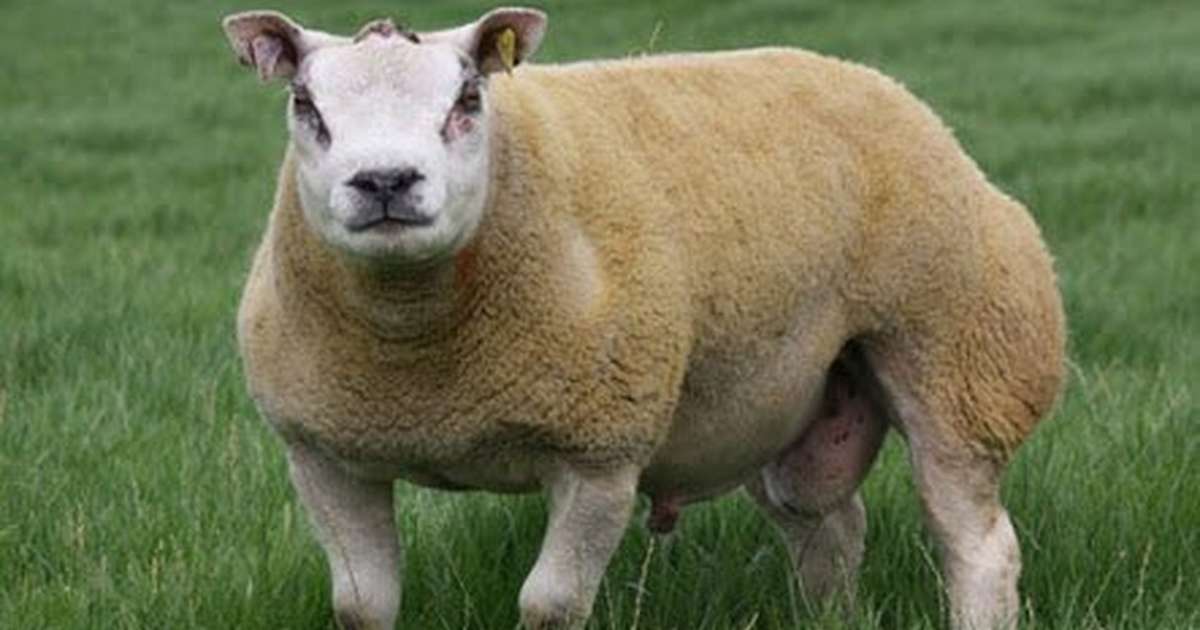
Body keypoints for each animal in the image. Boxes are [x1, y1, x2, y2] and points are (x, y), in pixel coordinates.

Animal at [222, 7, 1065, 630]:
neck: (418, 349)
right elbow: (362, 606)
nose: (386, 181)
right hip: (778, 402)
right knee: (827, 527)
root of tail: (876, 84)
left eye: (466, 102)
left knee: (978, 544)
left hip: (956, 354)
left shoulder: (599, 453)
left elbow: (551, 606)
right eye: (306, 105)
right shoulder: (322, 457)